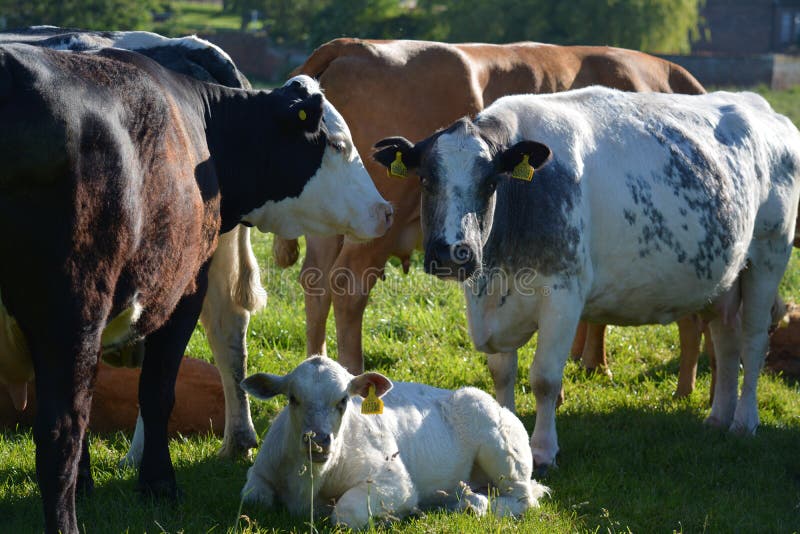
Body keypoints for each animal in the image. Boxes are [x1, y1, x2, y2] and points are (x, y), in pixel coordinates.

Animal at [240, 356, 548, 528]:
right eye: (293, 399)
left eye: (343, 401)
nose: (317, 440)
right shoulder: (259, 472)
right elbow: (253, 498)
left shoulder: (394, 482)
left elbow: (345, 513)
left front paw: (390, 517)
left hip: (504, 453)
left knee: (526, 500)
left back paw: (472, 504)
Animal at [272, 38, 706, 407]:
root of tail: (355, 45)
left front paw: (590, 362)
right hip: (375, 225)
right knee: (349, 286)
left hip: (328, 218)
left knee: (316, 283)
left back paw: (316, 369)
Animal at [373, 87, 800, 471]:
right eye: (426, 180)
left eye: (491, 183)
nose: (453, 253)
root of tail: (763, 108)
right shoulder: (488, 302)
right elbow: (501, 375)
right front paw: (507, 435)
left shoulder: (563, 294)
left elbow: (544, 379)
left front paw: (543, 452)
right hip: (725, 276)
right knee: (726, 341)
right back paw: (718, 418)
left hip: (769, 254)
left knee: (753, 341)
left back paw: (745, 421)